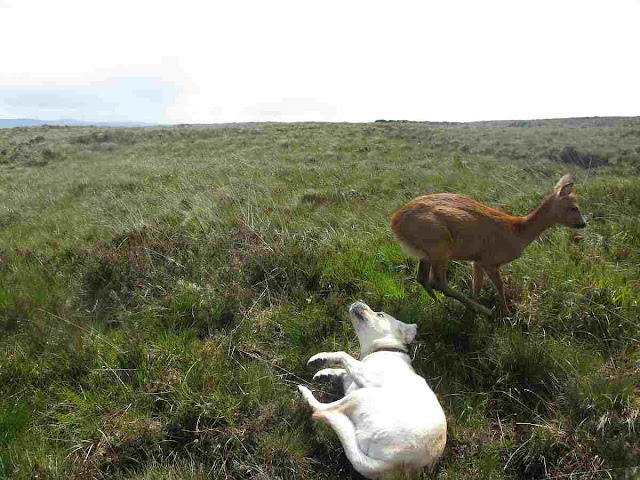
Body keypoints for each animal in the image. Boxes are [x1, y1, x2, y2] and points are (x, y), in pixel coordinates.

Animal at [390, 173, 587, 316]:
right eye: (574, 207)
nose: (583, 224)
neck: (518, 232)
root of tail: (395, 221)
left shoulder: (477, 260)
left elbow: (476, 285)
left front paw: (473, 310)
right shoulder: (491, 261)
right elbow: (499, 286)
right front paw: (507, 313)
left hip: (427, 253)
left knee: (422, 278)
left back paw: (442, 304)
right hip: (439, 246)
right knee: (437, 281)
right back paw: (484, 311)